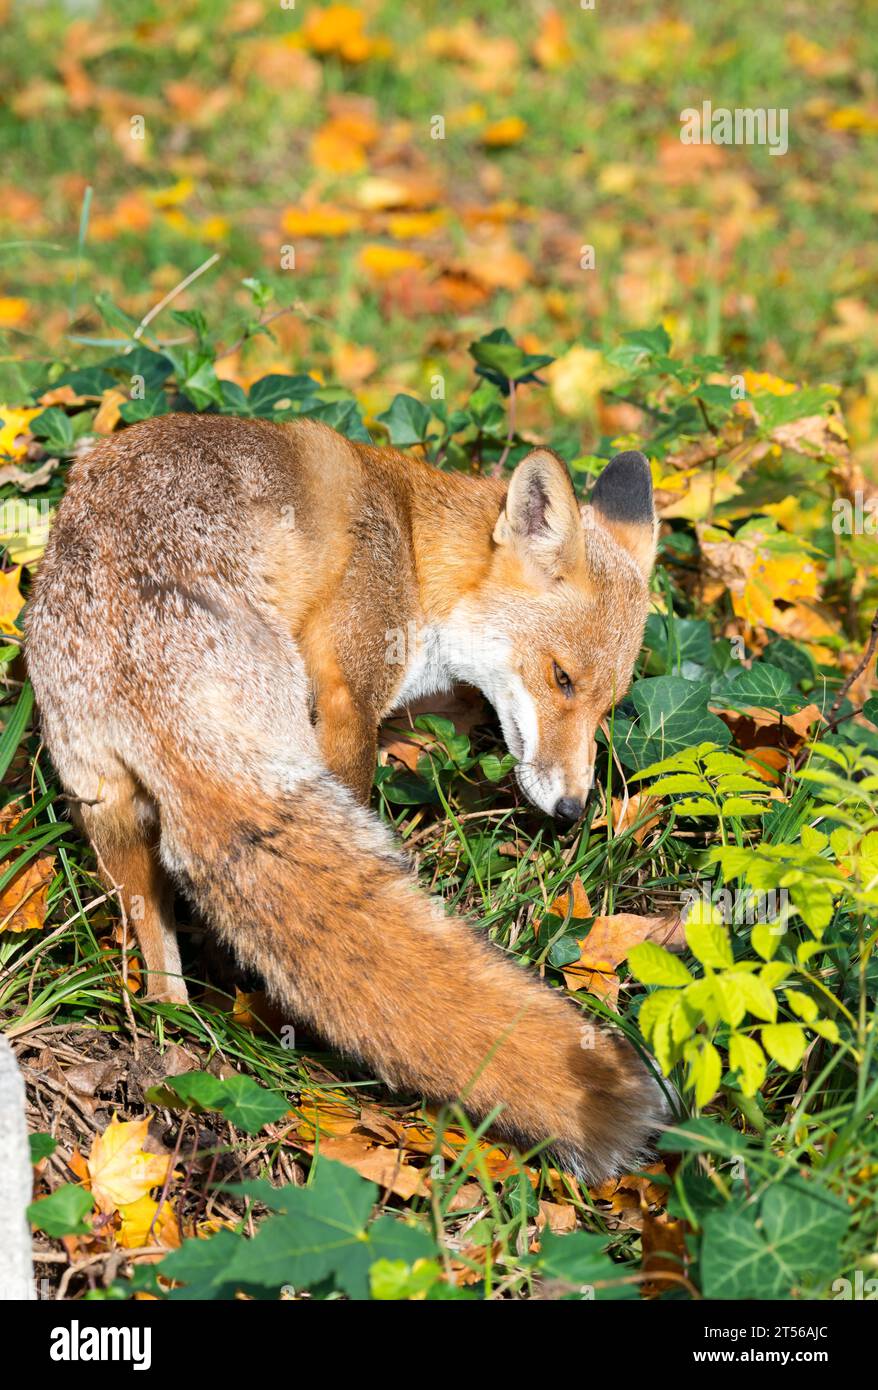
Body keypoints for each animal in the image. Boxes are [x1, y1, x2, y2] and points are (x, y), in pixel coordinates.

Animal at [25, 412, 666, 1180]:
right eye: (562, 678)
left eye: (608, 706)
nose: (572, 811)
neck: (415, 547)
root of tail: (158, 692)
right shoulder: (346, 689)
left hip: (105, 812)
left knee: (157, 955)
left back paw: (174, 1030)